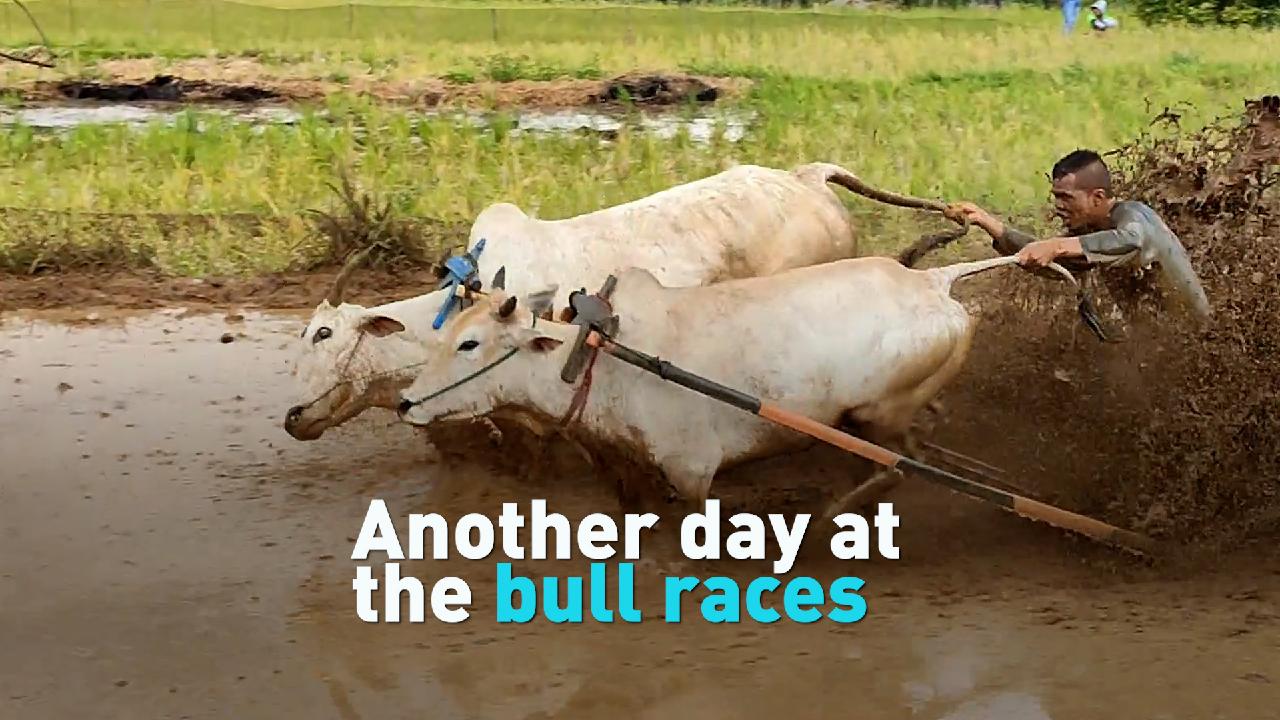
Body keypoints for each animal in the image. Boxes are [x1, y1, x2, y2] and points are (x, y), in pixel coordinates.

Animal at [393, 253, 1068, 516]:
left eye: (471, 344)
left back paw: (821, 522)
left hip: (880, 415)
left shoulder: (691, 472)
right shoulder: (625, 470)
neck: (596, 357)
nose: (404, 403)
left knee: (898, 467)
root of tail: (933, 281)